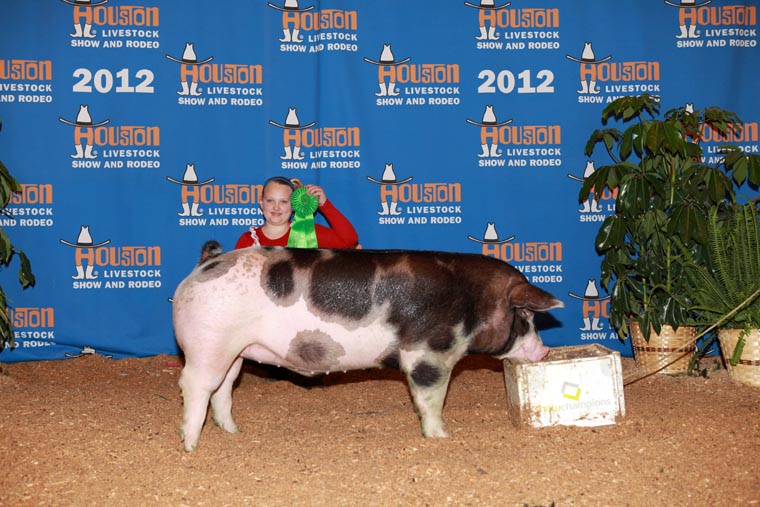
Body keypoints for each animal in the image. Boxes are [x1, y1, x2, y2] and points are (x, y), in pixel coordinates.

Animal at [172, 244, 563, 451]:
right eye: (526, 315)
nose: (543, 352)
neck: (472, 303)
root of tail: (204, 264)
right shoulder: (427, 352)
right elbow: (431, 398)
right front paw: (441, 437)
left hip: (234, 351)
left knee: (224, 389)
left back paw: (233, 432)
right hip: (208, 343)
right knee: (194, 385)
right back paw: (190, 445)